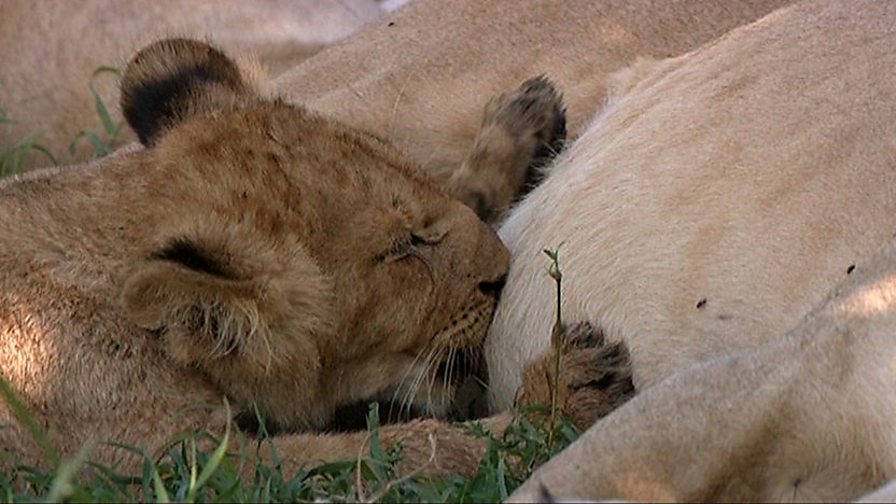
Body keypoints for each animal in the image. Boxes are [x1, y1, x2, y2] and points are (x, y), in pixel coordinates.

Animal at [0, 37, 633, 477]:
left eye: (414, 179)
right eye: (400, 252)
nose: (503, 271)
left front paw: (520, 129)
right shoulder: (170, 465)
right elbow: (413, 449)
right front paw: (561, 395)